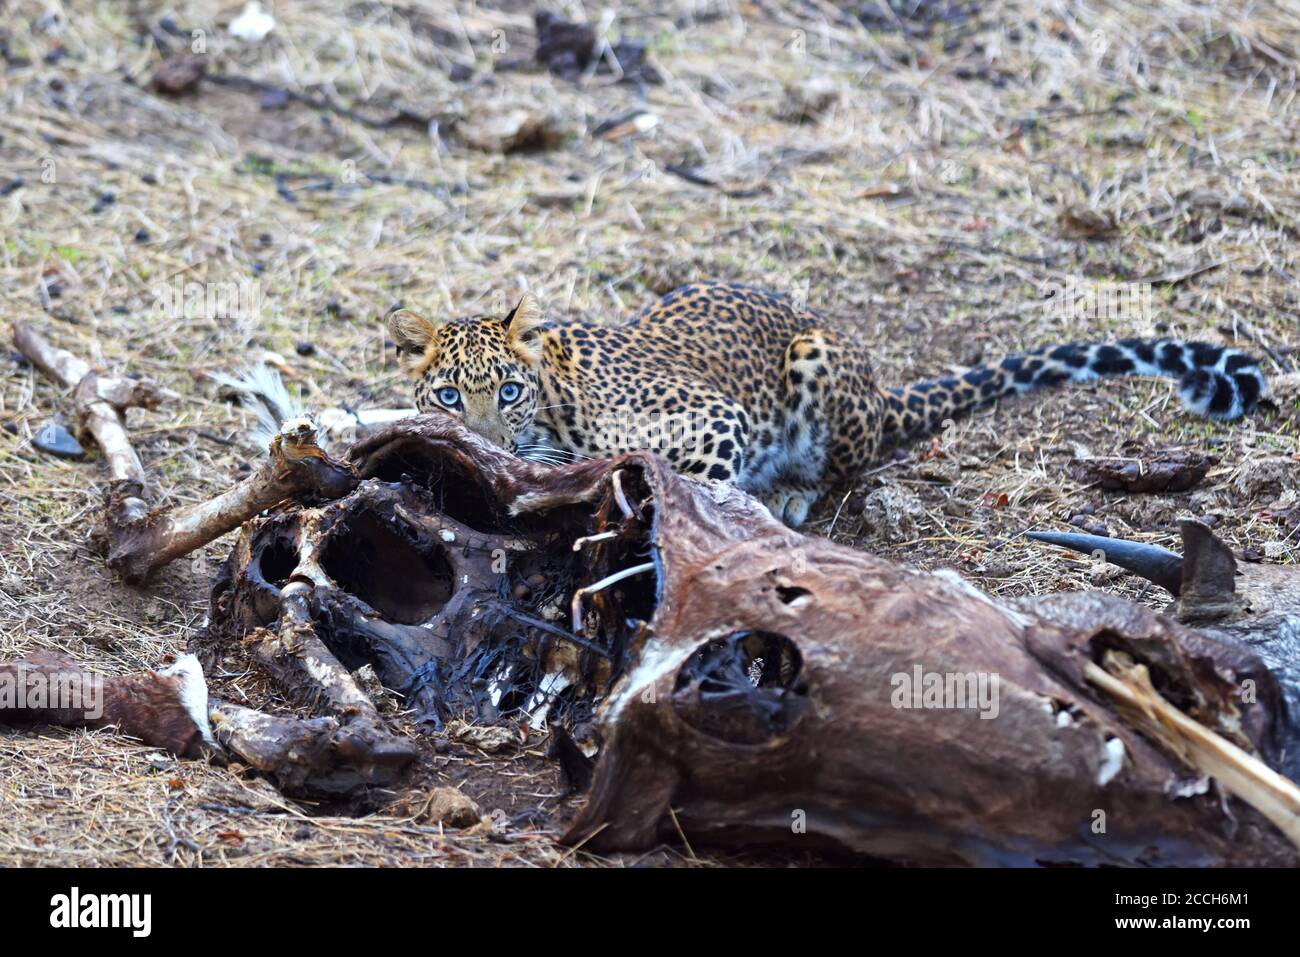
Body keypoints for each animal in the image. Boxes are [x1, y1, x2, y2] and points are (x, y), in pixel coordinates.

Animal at [384, 281, 1266, 527]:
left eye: (508, 391)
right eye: (449, 397)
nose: (490, 443)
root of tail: (878, 387)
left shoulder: (716, 417)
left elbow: (686, 472)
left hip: (816, 367)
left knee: (843, 470)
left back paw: (792, 494)